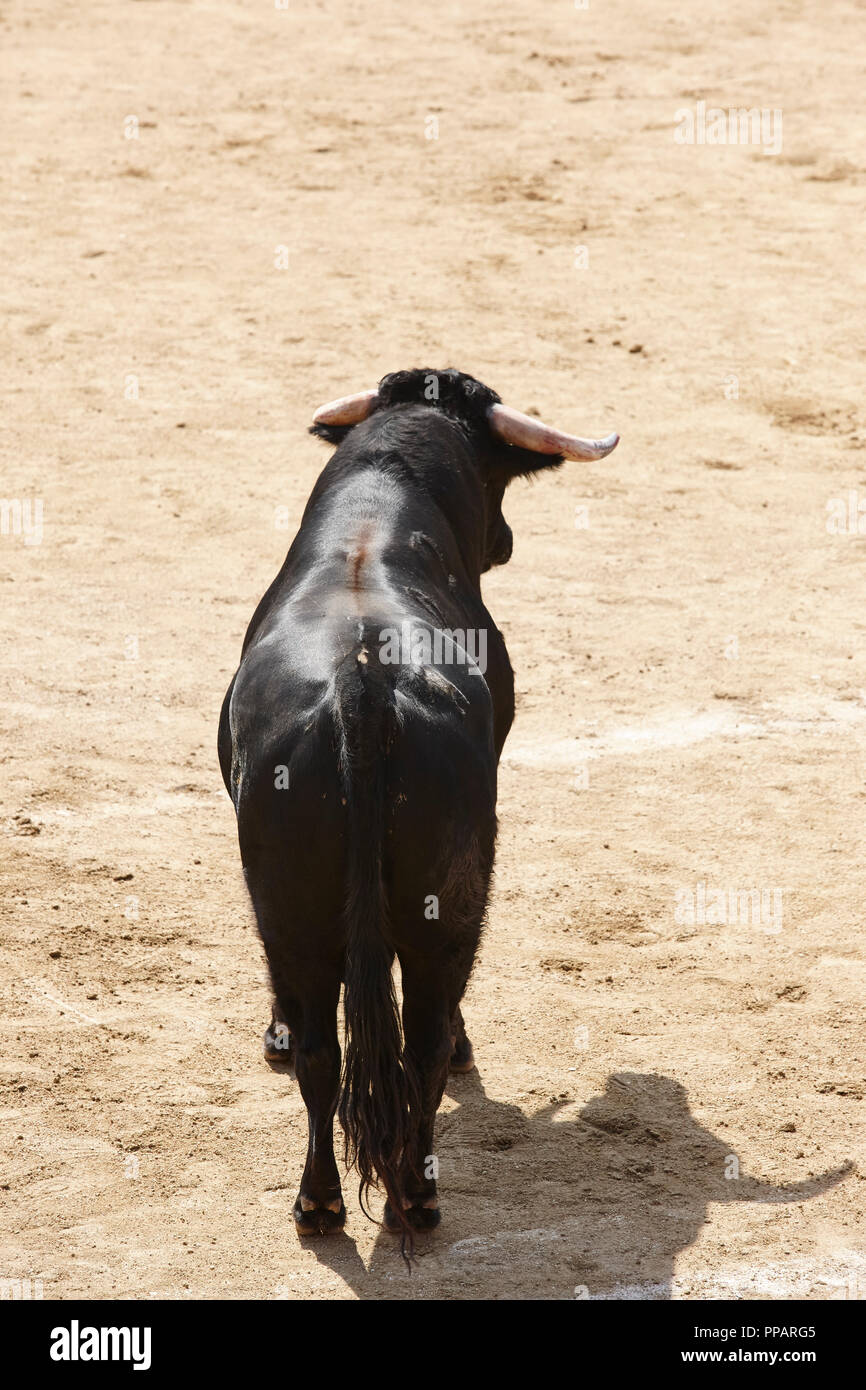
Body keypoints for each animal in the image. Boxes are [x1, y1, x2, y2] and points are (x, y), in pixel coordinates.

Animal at [217, 368, 618, 1253]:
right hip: (444, 904)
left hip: (298, 904)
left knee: (333, 1053)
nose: (505, 540)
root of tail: (362, 681)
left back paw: (326, 1201)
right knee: (415, 1042)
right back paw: (408, 1191)